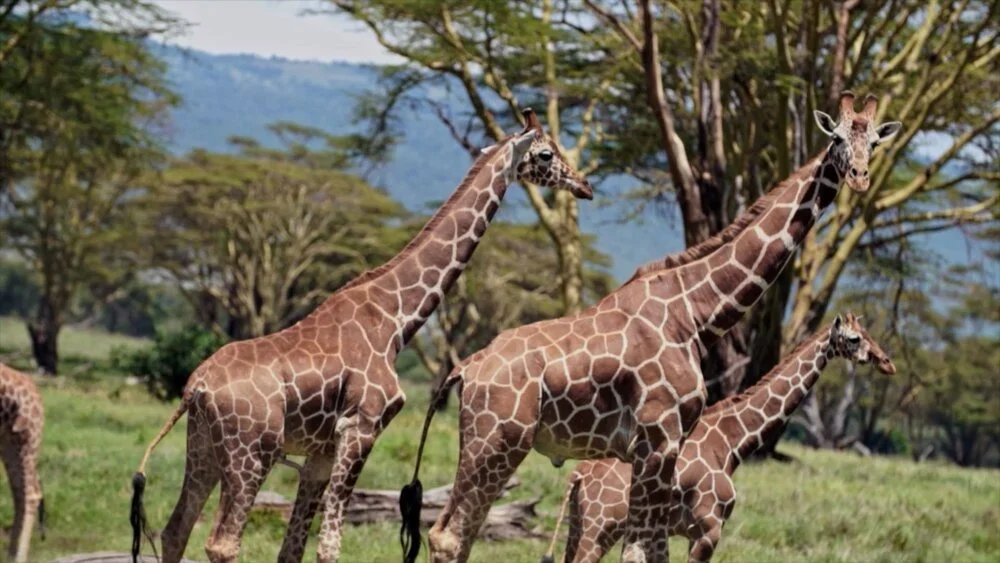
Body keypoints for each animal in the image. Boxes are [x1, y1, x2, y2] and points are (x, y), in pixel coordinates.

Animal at [128, 108, 594, 563]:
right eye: (547, 154)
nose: (584, 184)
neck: (395, 319)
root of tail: (197, 387)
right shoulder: (361, 427)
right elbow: (329, 547)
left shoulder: (320, 451)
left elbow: (292, 549)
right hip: (252, 451)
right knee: (221, 543)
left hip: (203, 447)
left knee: (174, 531)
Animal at [540, 312, 896, 563]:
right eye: (854, 339)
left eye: (869, 335)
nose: (887, 362)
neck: (732, 441)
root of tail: (577, 475)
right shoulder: (708, 531)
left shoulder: (678, 533)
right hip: (599, 528)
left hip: (579, 525)